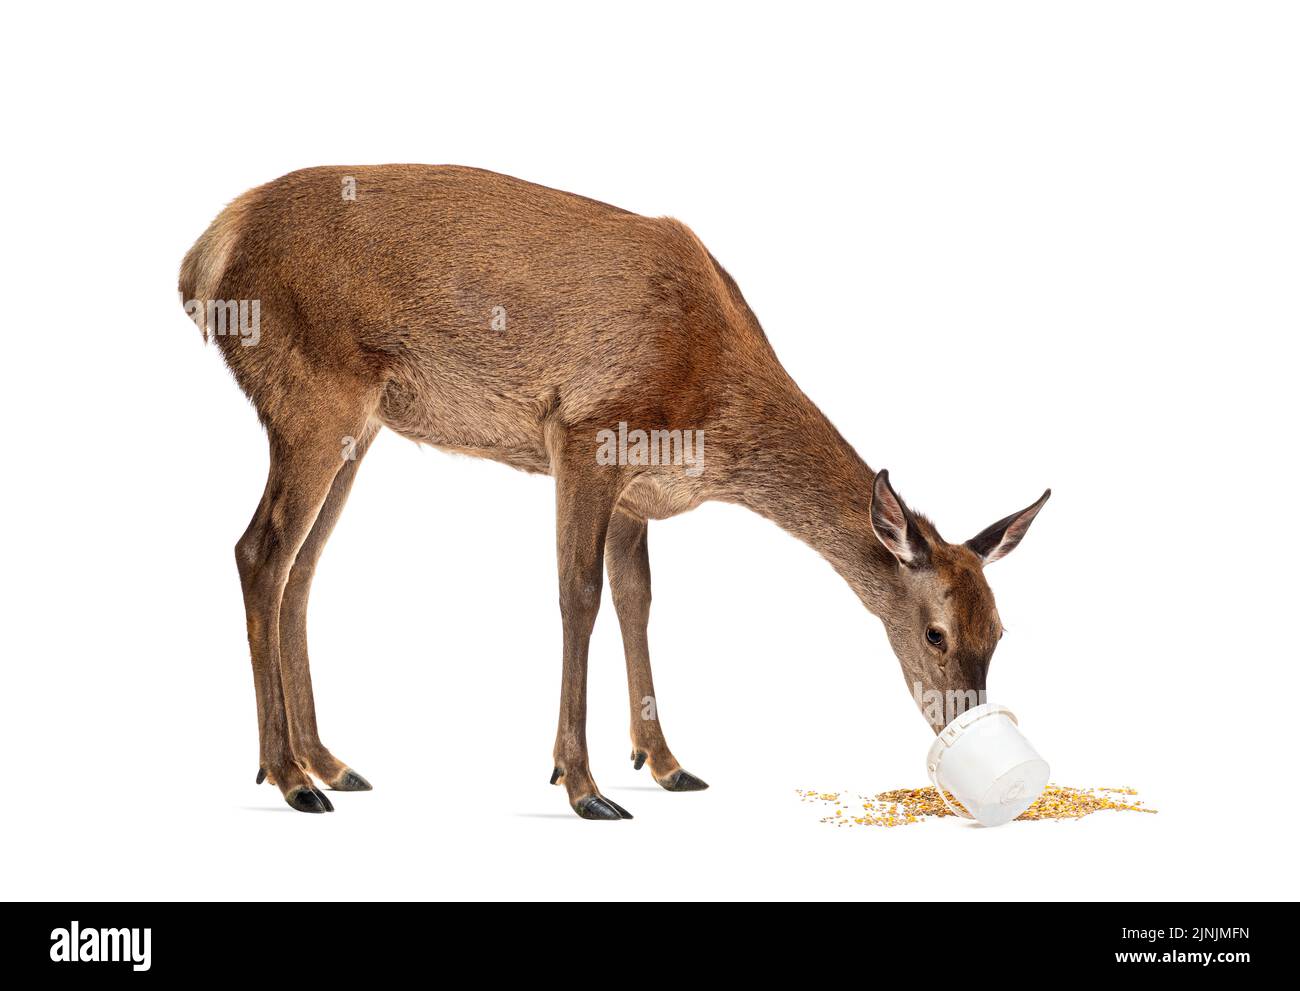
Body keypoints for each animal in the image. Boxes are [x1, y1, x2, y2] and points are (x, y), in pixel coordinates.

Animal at [179, 165, 1051, 819]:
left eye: (1001, 629)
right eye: (936, 633)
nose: (963, 717)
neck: (711, 408)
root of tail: (203, 261)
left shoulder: (642, 493)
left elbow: (638, 599)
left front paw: (666, 761)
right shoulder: (586, 429)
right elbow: (579, 594)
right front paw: (582, 783)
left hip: (357, 428)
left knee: (303, 567)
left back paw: (328, 761)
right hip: (311, 395)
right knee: (259, 550)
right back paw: (286, 776)